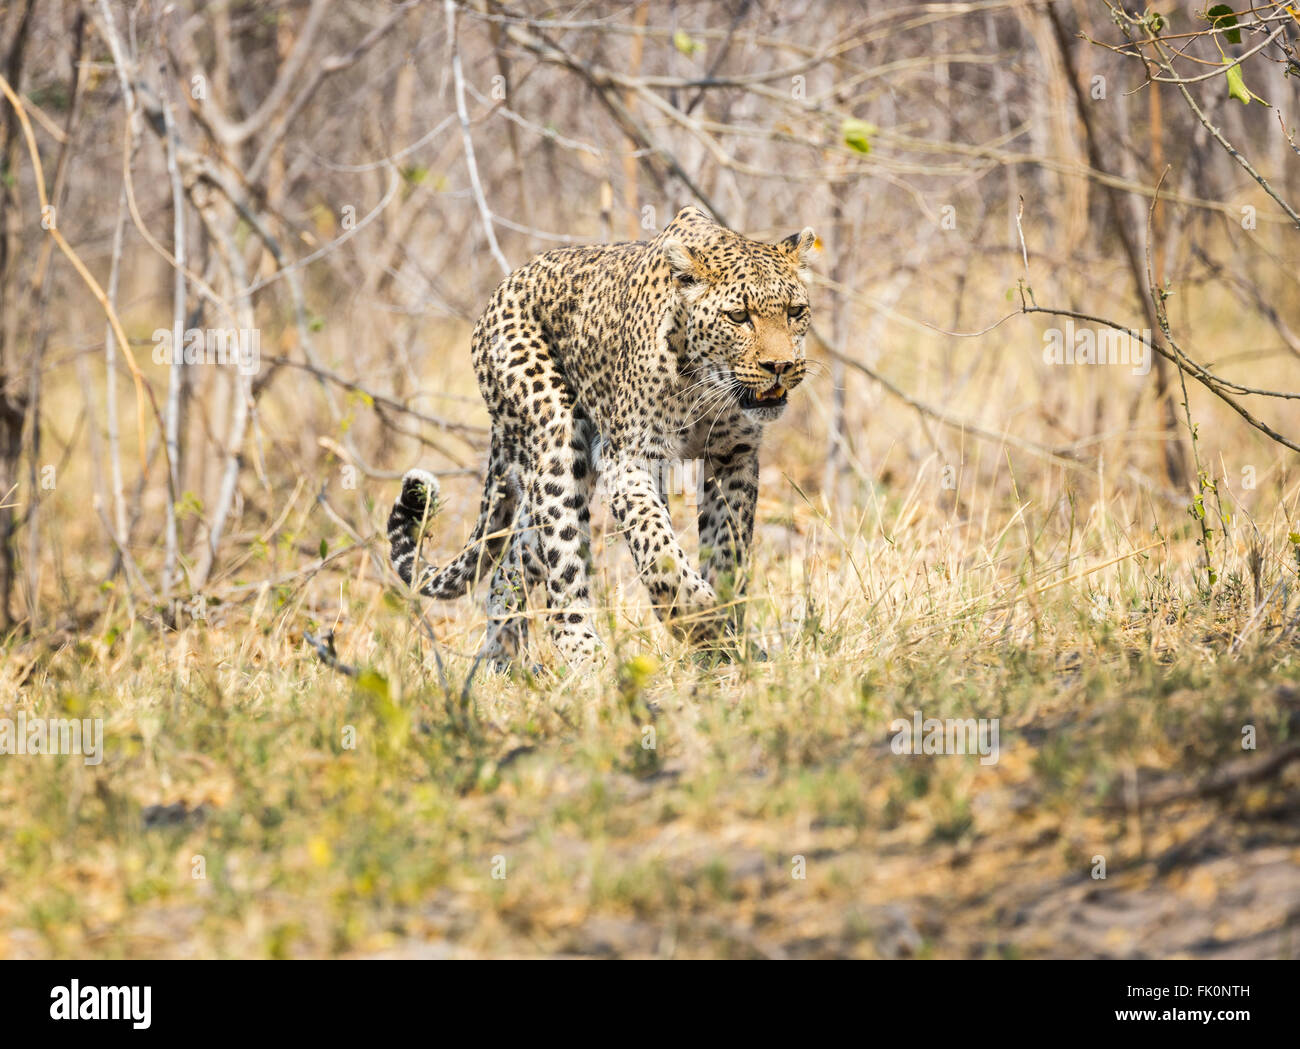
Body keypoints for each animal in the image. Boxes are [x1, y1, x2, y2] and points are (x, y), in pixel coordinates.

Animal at [387, 204, 814, 669]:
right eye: (738, 317)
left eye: (795, 311)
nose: (780, 366)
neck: (705, 387)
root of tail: (502, 288)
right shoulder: (630, 459)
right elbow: (657, 545)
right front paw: (697, 618)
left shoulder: (734, 457)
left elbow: (728, 548)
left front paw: (724, 640)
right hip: (557, 440)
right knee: (562, 572)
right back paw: (587, 660)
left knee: (510, 567)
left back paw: (503, 664)